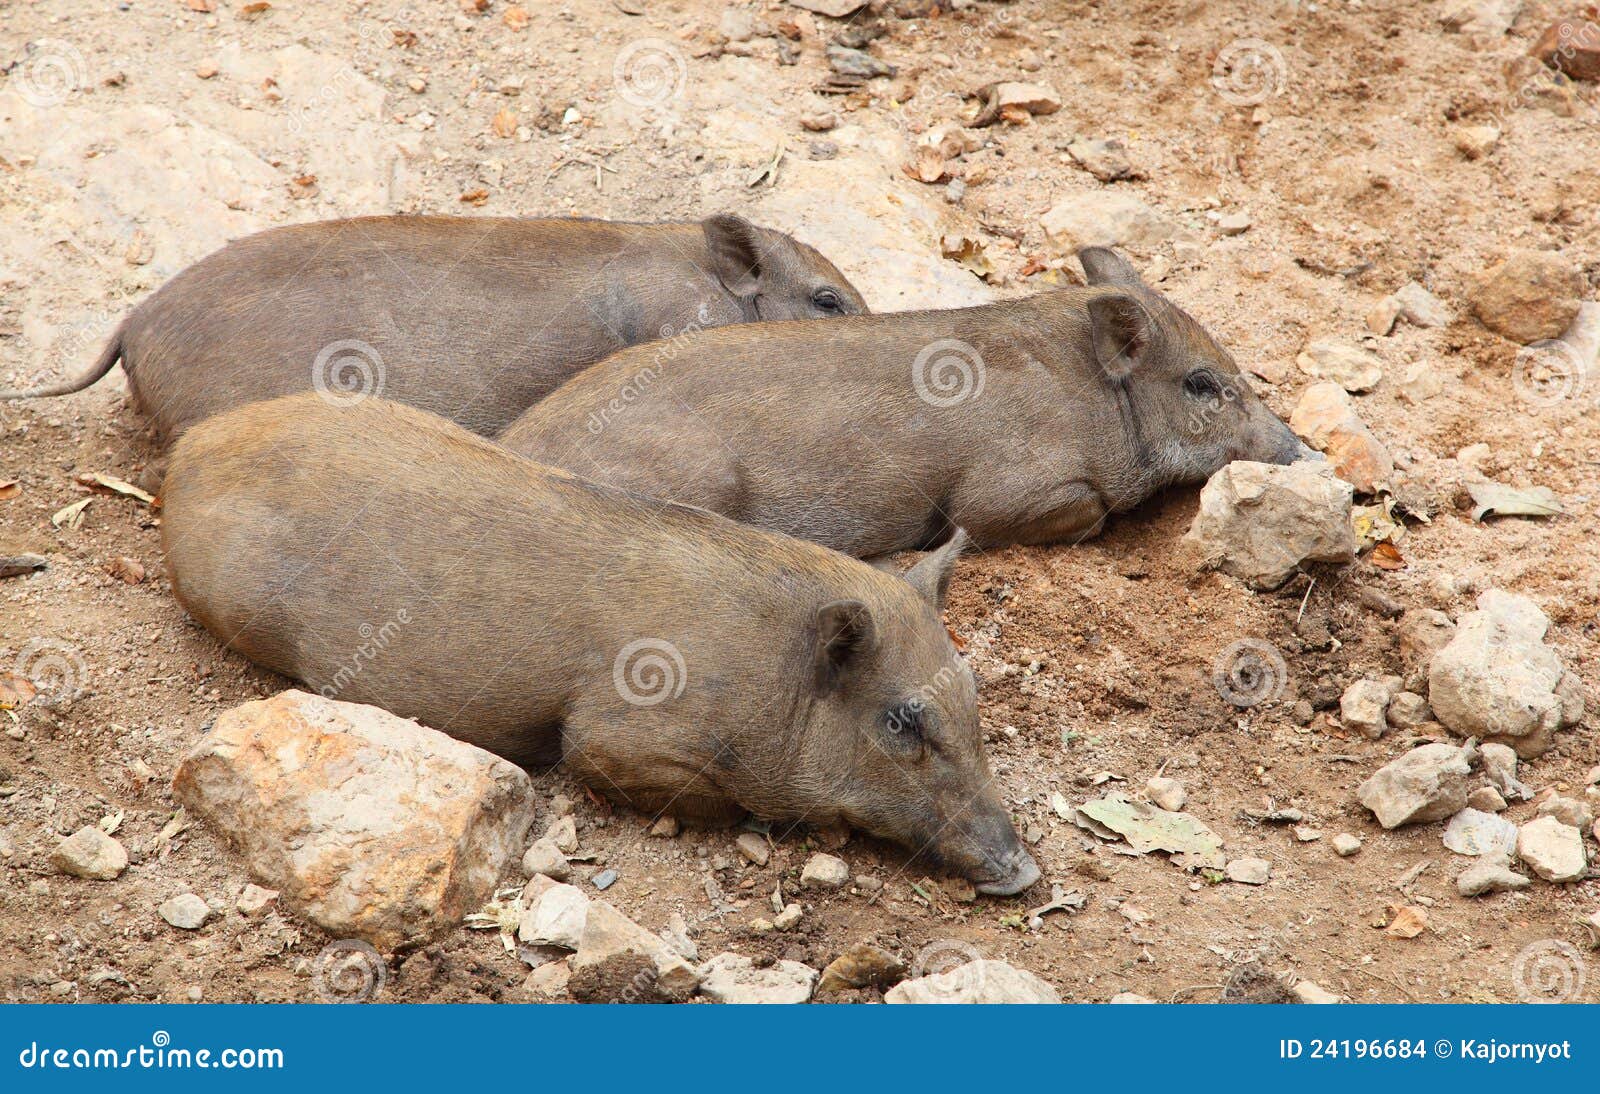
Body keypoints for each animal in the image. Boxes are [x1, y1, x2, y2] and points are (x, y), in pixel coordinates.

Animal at [160, 393, 1040, 897]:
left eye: (973, 695)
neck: (773, 678)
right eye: (901, 722)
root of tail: (191, 447)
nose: (1025, 870)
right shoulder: (609, 736)